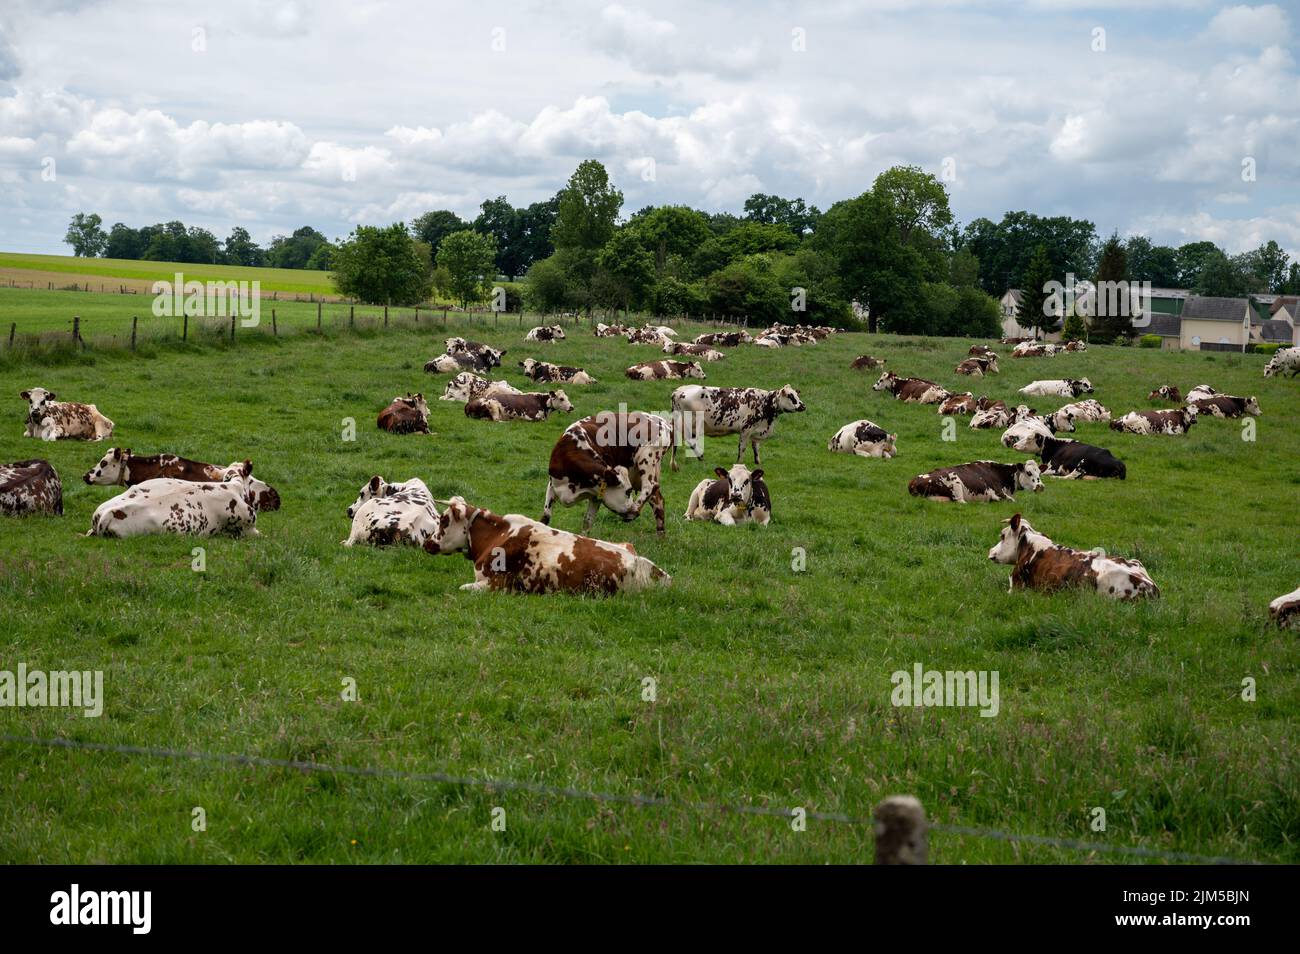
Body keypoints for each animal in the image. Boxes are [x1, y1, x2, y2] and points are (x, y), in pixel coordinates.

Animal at [542, 411, 673, 533]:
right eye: (628, 491)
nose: (631, 510)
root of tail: (664, 423)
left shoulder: (597, 495)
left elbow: (587, 522)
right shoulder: (552, 485)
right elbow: (546, 517)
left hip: (646, 458)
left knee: (650, 486)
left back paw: (635, 510)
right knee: (657, 499)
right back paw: (660, 534)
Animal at [669, 384, 806, 469]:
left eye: (797, 394)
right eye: (791, 396)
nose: (803, 406)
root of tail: (678, 391)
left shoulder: (757, 431)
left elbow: (756, 447)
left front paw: (758, 462)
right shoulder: (746, 428)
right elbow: (742, 447)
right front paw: (739, 462)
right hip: (692, 422)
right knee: (691, 441)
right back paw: (701, 457)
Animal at [908, 460, 1043, 502]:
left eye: (1040, 473)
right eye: (1029, 472)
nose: (1040, 486)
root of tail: (913, 481)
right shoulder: (999, 493)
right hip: (955, 483)